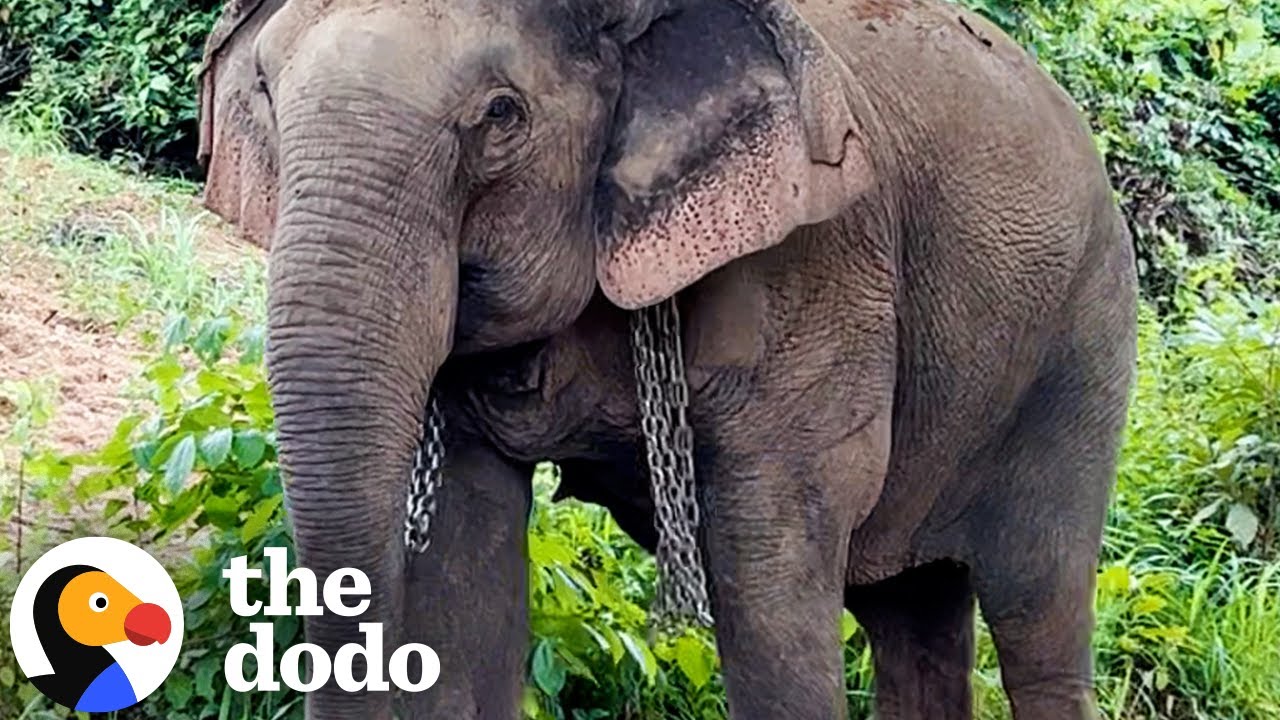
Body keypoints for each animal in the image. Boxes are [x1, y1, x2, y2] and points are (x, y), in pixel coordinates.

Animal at [196, 0, 1138, 718]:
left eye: (501, 114)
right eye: (267, 92)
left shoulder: (820, 266)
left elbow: (770, 583)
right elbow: (464, 561)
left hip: (1082, 350)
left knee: (1037, 611)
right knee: (911, 613)